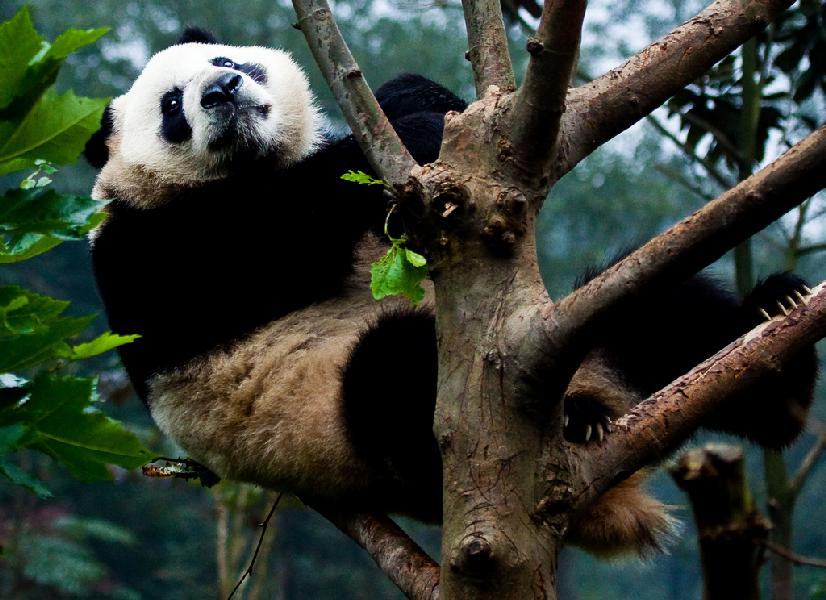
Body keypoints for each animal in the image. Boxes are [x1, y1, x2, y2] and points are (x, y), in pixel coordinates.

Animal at [85, 28, 817, 558]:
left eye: (227, 58)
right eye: (171, 108)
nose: (222, 89)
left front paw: (422, 95)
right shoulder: (148, 251)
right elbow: (278, 238)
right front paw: (415, 123)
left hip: (591, 337)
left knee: (653, 307)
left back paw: (778, 357)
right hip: (338, 431)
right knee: (392, 370)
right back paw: (575, 418)